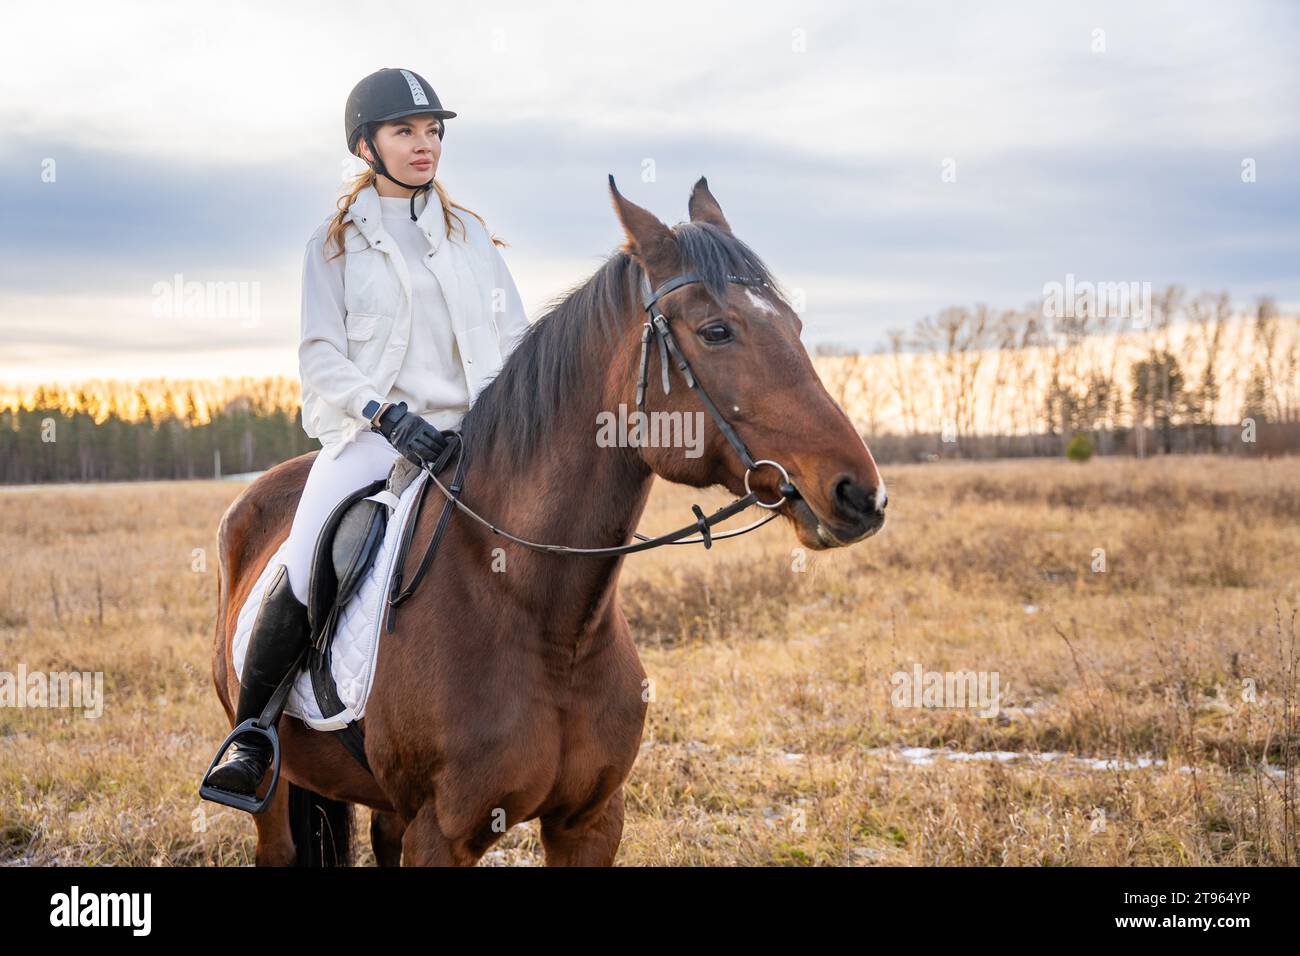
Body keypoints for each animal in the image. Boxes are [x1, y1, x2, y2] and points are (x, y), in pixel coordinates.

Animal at [208, 176, 887, 866]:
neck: (543, 618)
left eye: (796, 325)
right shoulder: (443, 832)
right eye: (717, 330)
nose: (860, 493)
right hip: (276, 784)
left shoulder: (590, 821)